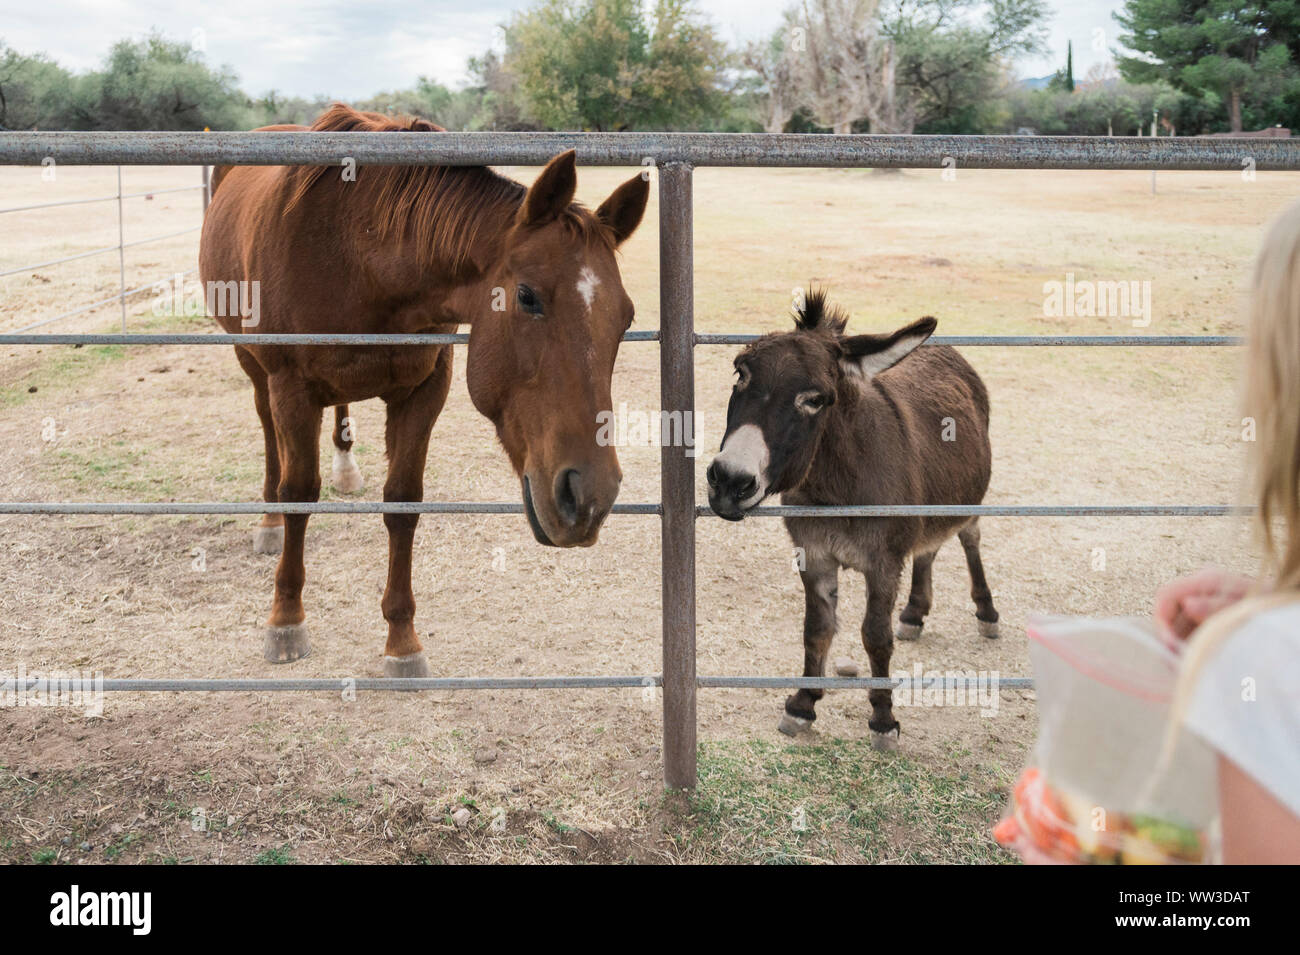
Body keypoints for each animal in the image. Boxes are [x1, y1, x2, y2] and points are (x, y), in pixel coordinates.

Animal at [199, 104, 649, 676]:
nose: (590, 498)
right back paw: (269, 521)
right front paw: (285, 619)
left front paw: (402, 640)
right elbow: (298, 492)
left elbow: (403, 503)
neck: (359, 256)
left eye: (626, 317)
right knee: (267, 435)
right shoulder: (291, 388)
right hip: (253, 365)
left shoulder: (425, 388)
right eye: (527, 297)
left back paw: (346, 468)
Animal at [706, 291, 999, 749]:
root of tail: (940, 348)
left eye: (815, 399)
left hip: (966, 500)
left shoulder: (883, 564)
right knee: (928, 547)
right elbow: (817, 629)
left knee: (969, 539)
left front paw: (883, 719)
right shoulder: (814, 555)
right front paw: (803, 704)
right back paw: (914, 613)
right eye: (741, 374)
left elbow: (875, 638)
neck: (835, 489)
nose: (730, 481)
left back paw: (986, 612)